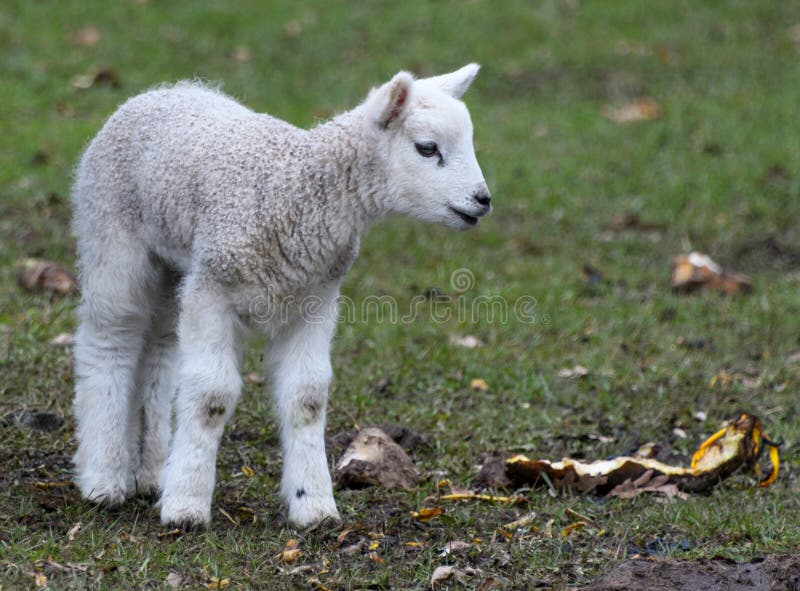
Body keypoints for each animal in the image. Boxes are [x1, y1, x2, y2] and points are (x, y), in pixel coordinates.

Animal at [71, 64, 491, 530]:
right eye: (426, 148)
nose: (483, 200)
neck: (297, 193)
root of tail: (160, 91)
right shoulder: (212, 289)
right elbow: (211, 396)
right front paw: (186, 506)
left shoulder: (315, 299)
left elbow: (307, 397)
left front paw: (314, 506)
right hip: (112, 237)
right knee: (111, 342)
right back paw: (104, 478)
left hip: (173, 265)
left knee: (157, 353)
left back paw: (146, 473)